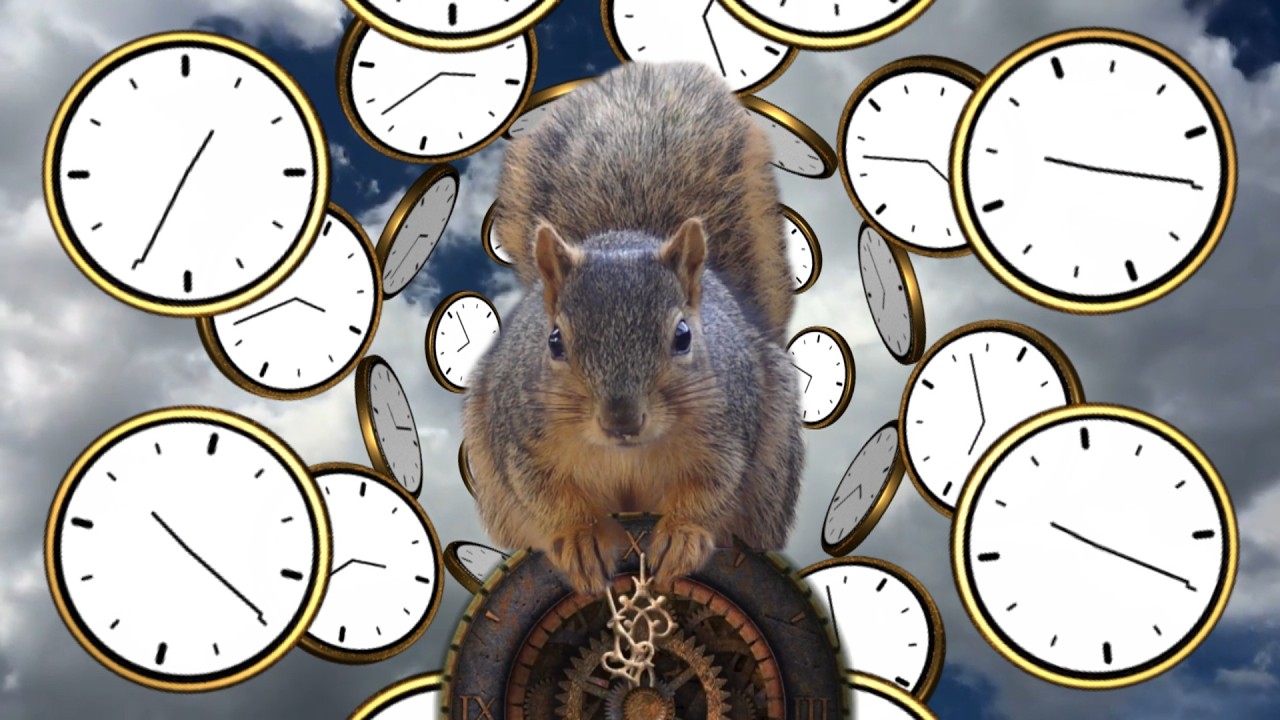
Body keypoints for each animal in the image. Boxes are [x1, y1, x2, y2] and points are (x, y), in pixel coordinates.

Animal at [462, 60, 803, 596]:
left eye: (683, 336)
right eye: (554, 342)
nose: (621, 420)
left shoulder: (729, 430)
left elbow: (711, 491)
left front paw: (682, 535)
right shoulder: (519, 438)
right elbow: (545, 496)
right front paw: (580, 538)